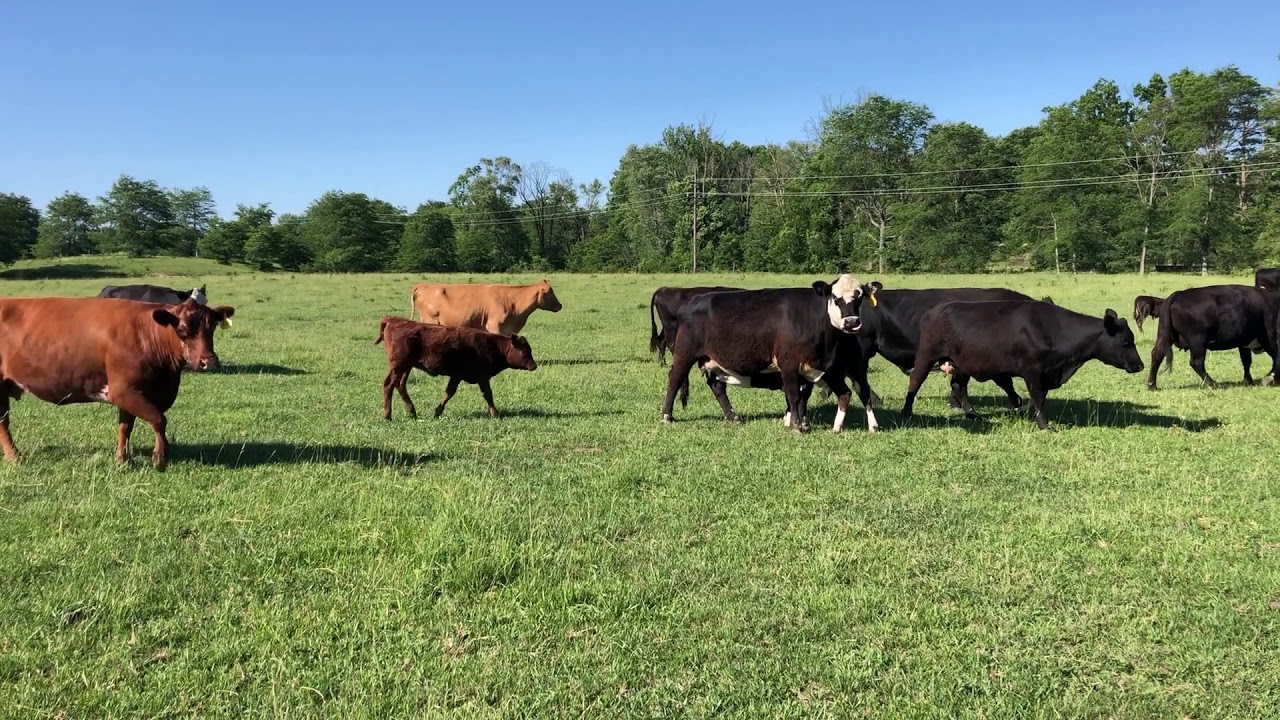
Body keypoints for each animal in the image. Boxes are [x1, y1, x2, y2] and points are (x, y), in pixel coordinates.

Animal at [0, 296, 235, 469]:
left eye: (212, 328)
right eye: (182, 331)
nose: (208, 362)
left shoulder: (132, 394)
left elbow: (125, 426)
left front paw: (123, 459)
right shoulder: (122, 390)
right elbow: (159, 419)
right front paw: (159, 457)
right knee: (4, 423)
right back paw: (14, 457)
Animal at [375, 316, 537, 420]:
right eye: (525, 350)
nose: (534, 366)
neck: (492, 345)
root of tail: (392, 320)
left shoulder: (456, 376)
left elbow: (449, 393)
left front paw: (438, 411)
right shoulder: (482, 377)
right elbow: (488, 395)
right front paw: (495, 413)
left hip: (406, 368)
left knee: (400, 385)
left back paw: (411, 411)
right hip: (399, 366)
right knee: (389, 385)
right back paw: (387, 416)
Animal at [660, 275, 876, 433]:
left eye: (859, 298)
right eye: (835, 298)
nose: (851, 322)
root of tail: (692, 301)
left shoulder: (809, 369)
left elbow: (802, 397)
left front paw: (802, 424)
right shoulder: (789, 364)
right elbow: (794, 396)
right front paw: (796, 427)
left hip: (713, 360)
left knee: (717, 387)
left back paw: (733, 417)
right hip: (684, 354)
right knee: (675, 378)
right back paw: (666, 416)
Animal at [902, 301, 1143, 431]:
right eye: (1125, 342)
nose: (1140, 365)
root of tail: (933, 311)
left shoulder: (1045, 374)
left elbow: (1038, 398)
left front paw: (1023, 411)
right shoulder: (1033, 371)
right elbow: (1037, 397)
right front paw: (1044, 425)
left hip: (961, 364)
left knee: (958, 387)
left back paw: (973, 414)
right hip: (926, 356)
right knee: (915, 381)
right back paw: (906, 412)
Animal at [1147, 285, 1280, 390]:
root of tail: (1178, 294)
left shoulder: (1244, 342)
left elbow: (1247, 361)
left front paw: (1248, 380)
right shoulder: (1271, 338)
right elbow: (1277, 359)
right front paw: (1268, 379)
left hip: (1165, 335)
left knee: (1157, 354)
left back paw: (1152, 385)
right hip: (1198, 341)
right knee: (1196, 362)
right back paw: (1211, 383)